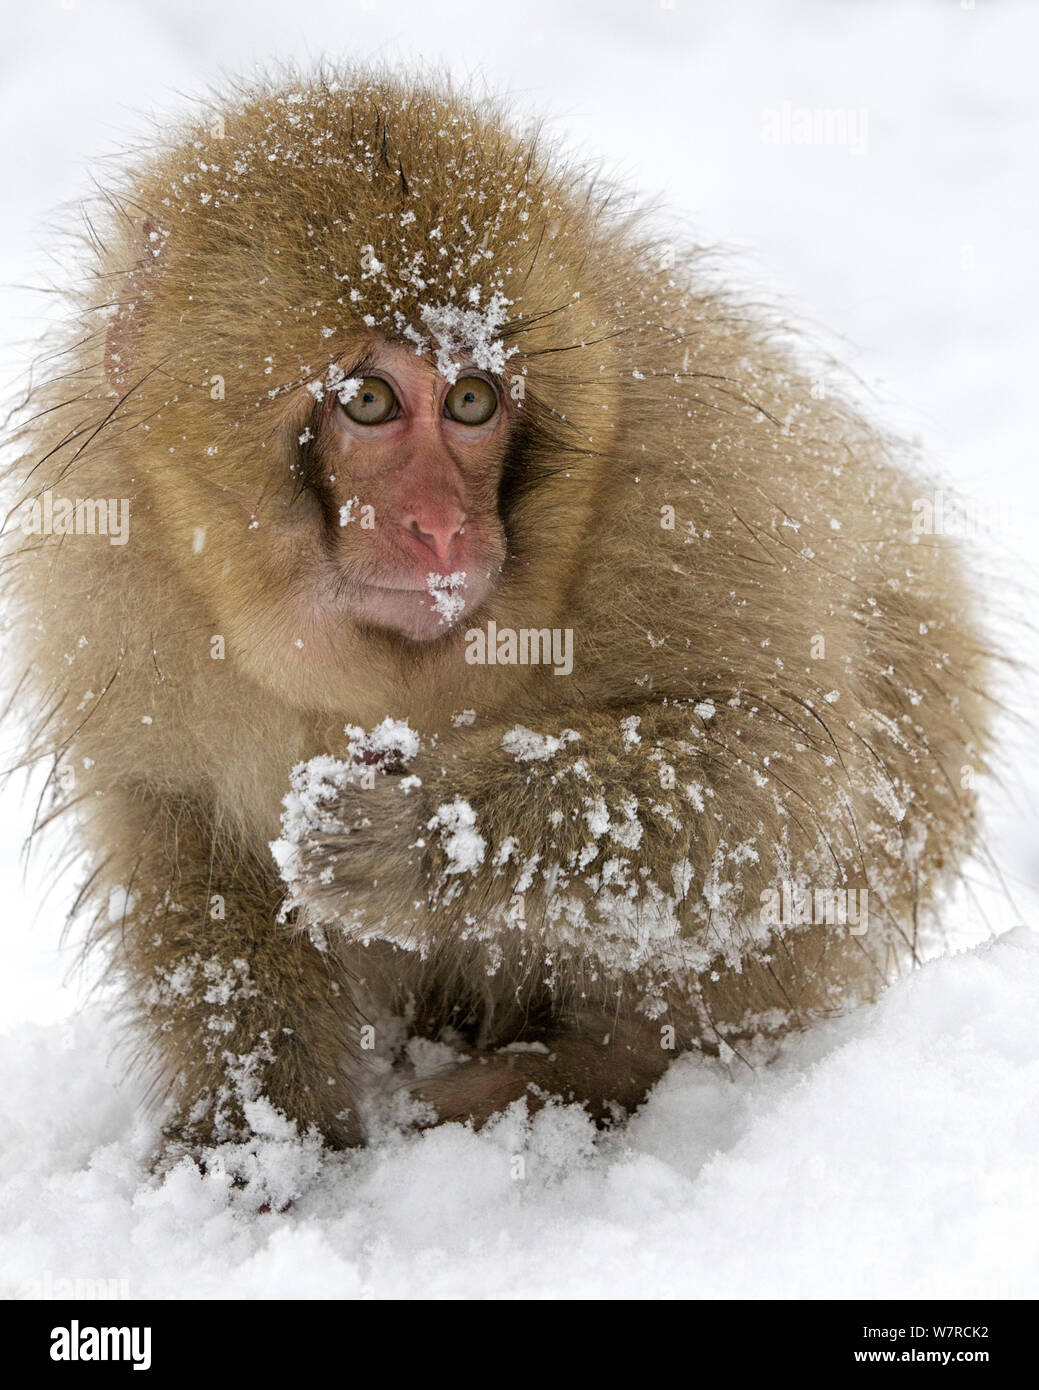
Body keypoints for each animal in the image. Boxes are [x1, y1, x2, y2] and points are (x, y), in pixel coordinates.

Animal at [2, 68, 991, 1160]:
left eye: (473, 401)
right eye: (369, 399)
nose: (442, 527)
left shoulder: (689, 482)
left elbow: (777, 774)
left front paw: (414, 834)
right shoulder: (112, 561)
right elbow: (182, 827)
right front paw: (255, 1140)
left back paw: (583, 1074)